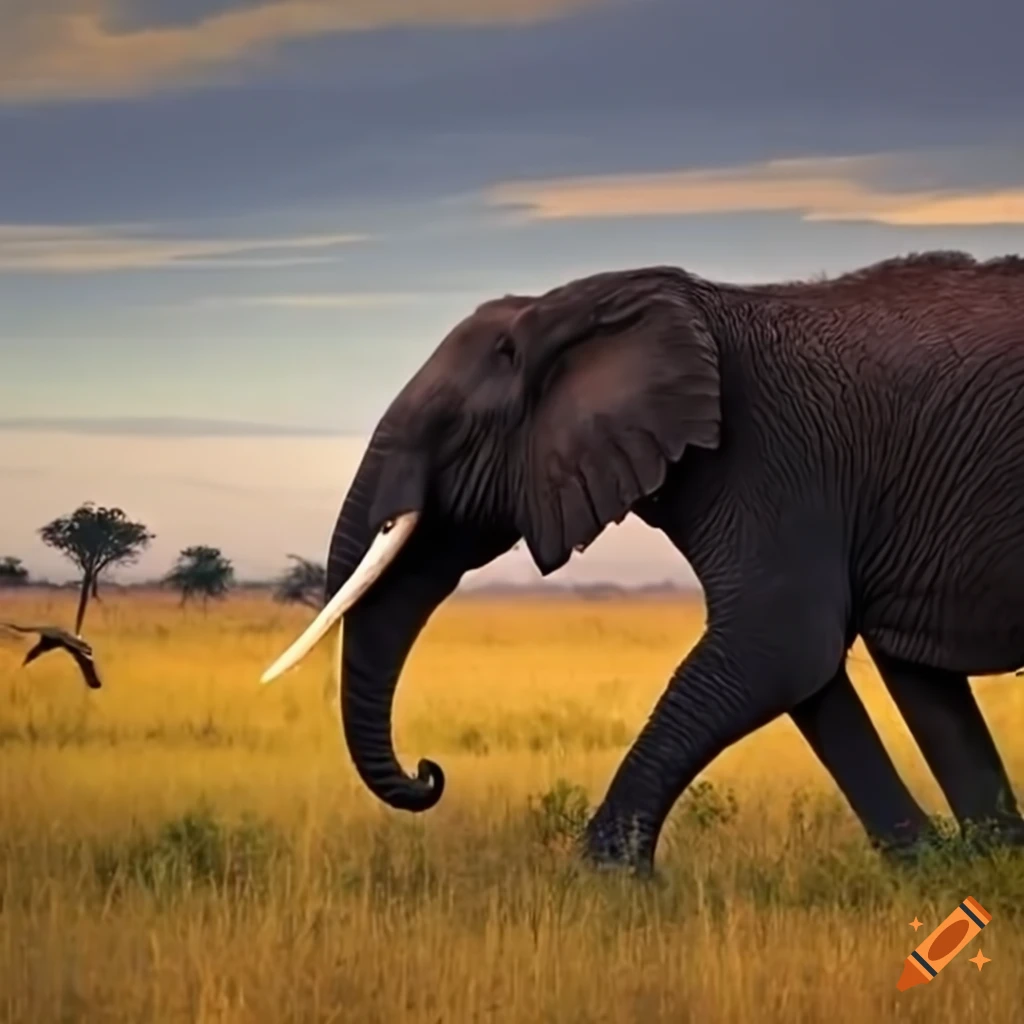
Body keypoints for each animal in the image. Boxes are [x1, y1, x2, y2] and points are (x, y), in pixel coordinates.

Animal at [262, 249, 1024, 874]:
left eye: (450, 435)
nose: (428, 773)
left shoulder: (770, 460)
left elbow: (777, 648)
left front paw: (603, 885)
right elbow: (832, 676)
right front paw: (943, 871)